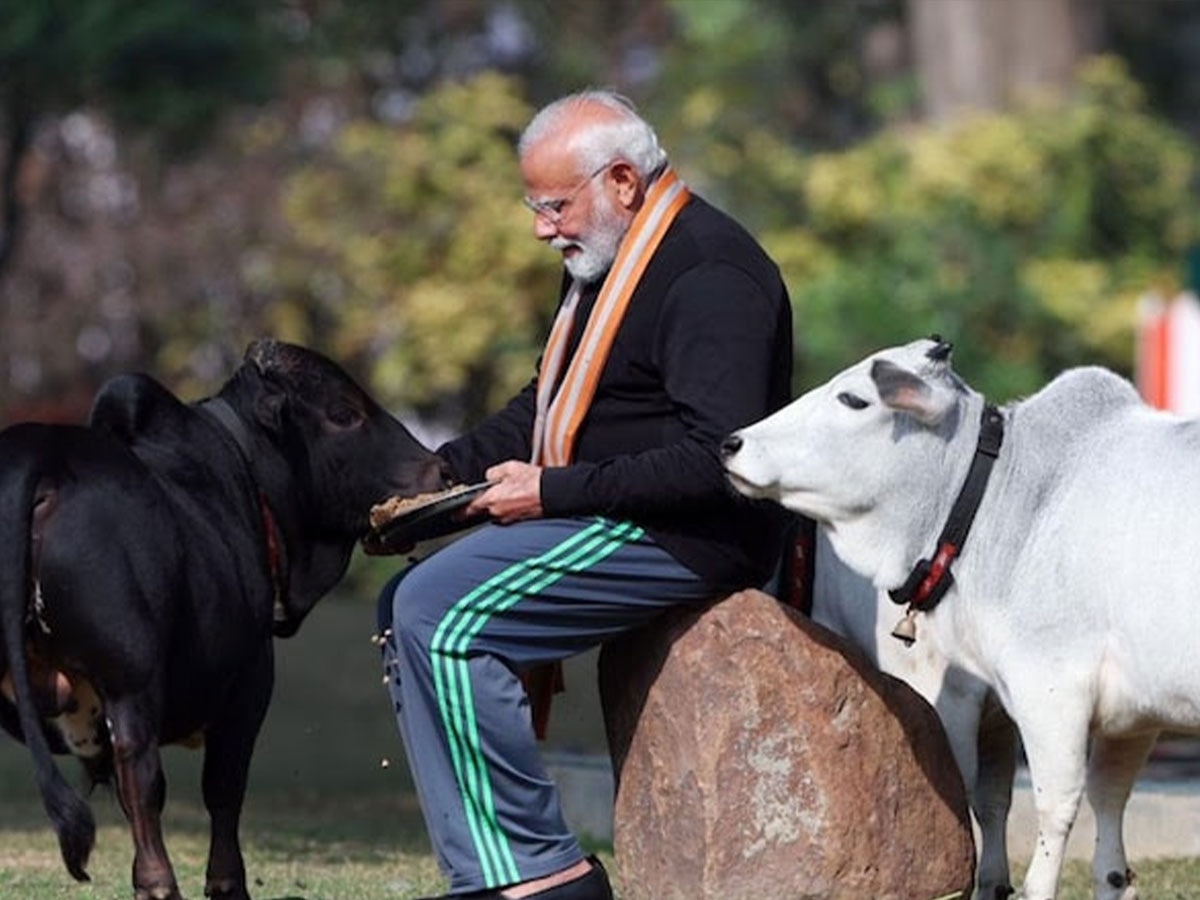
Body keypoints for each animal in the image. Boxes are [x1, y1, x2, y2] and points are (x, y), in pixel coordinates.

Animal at [0, 339, 447, 900]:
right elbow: (224, 785)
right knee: (141, 775)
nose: (439, 470)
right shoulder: (250, 680)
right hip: (131, 675)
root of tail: (45, 451)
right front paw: (227, 883)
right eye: (344, 413)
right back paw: (159, 883)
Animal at [723, 336, 1198, 900]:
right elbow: (1090, 806)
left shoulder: (1039, 688)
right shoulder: (1128, 714)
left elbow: (1049, 807)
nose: (733, 443)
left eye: (854, 399)